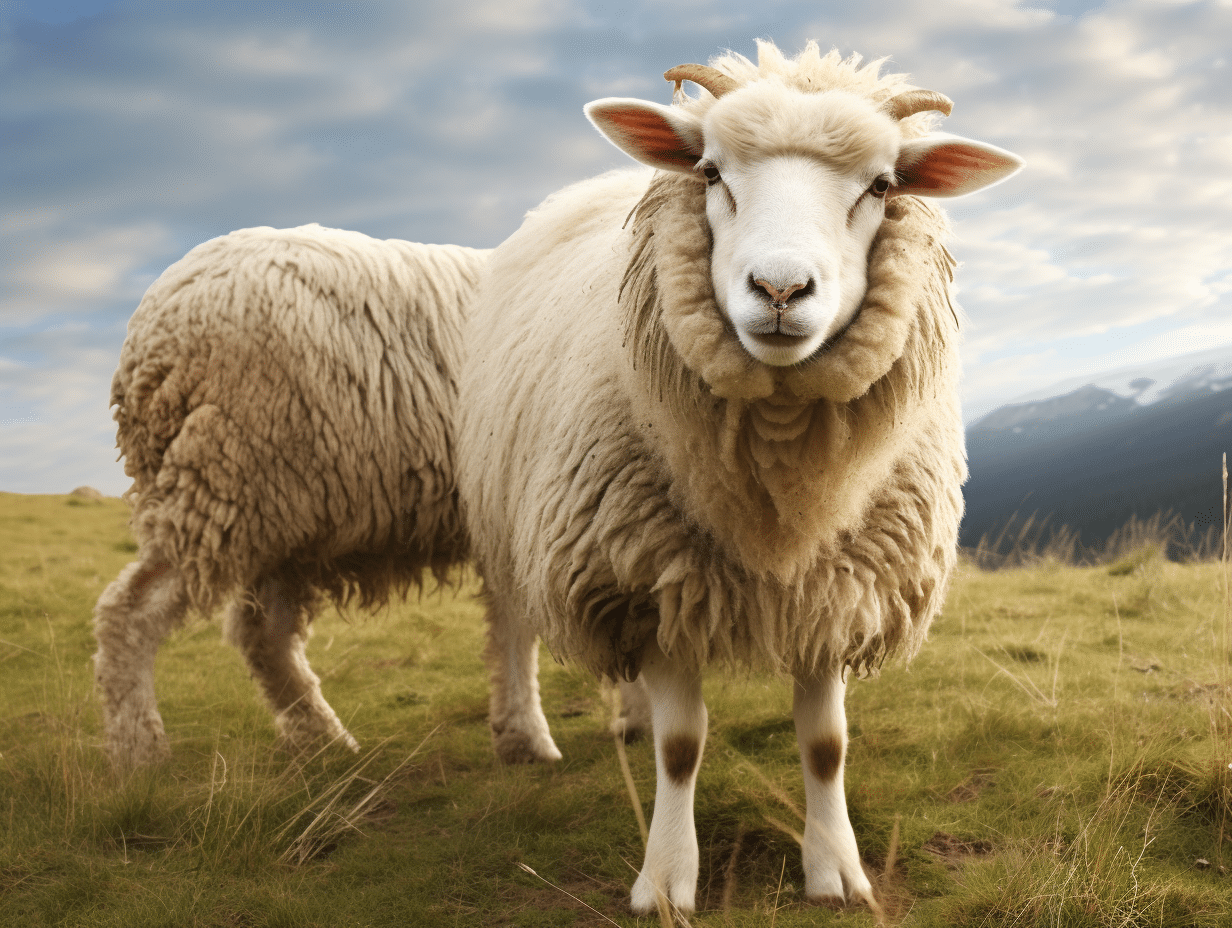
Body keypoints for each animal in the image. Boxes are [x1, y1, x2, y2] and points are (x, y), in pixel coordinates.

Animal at [93, 223, 485, 769]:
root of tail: (147, 339)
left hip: (284, 516)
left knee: (264, 635)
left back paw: (324, 740)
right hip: (231, 481)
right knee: (131, 612)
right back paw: (140, 754)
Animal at [456, 41, 1022, 914]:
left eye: (883, 186)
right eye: (712, 171)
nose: (781, 290)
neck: (781, 495)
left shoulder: (837, 587)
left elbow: (825, 745)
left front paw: (836, 872)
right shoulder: (652, 583)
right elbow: (682, 746)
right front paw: (665, 881)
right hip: (518, 527)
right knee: (518, 628)